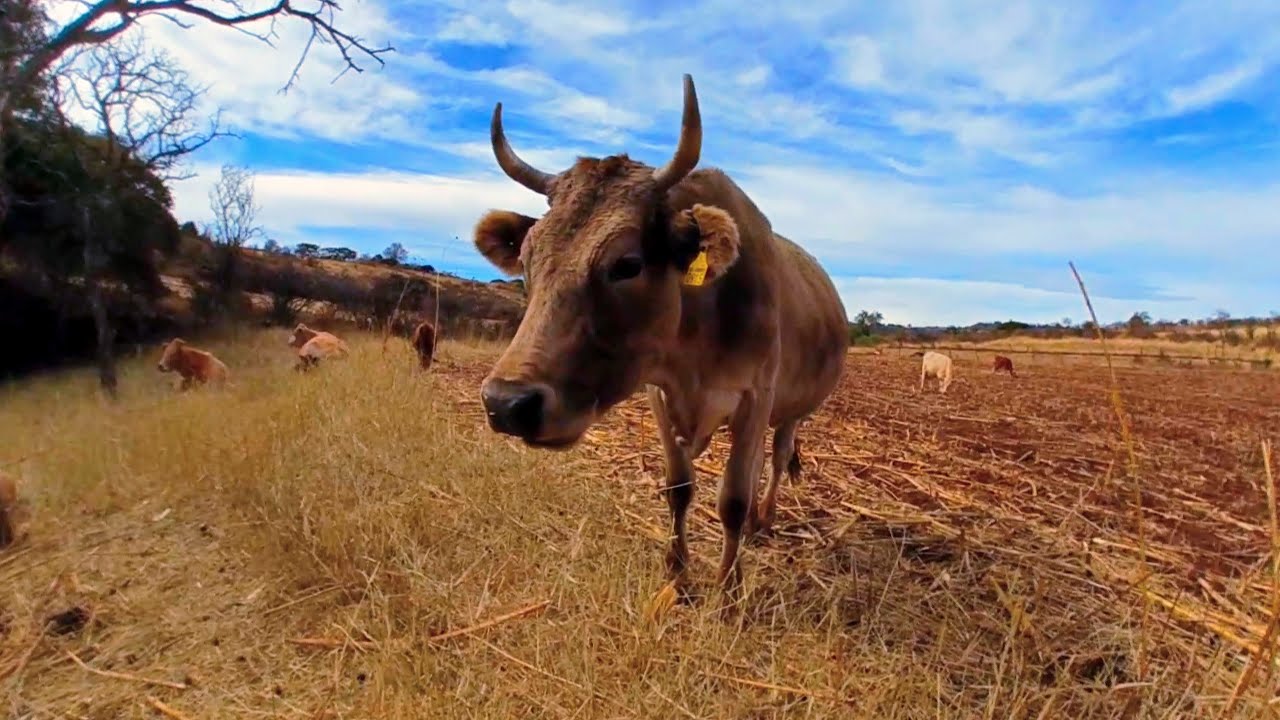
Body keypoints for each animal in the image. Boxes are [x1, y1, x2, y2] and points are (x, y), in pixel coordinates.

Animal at [471, 74, 849, 607]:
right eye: (526, 260)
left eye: (627, 264)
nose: (507, 404)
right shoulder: (659, 395)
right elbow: (679, 488)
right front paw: (677, 573)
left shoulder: (755, 398)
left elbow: (733, 499)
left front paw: (729, 590)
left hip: (792, 411)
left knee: (775, 459)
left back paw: (764, 519)